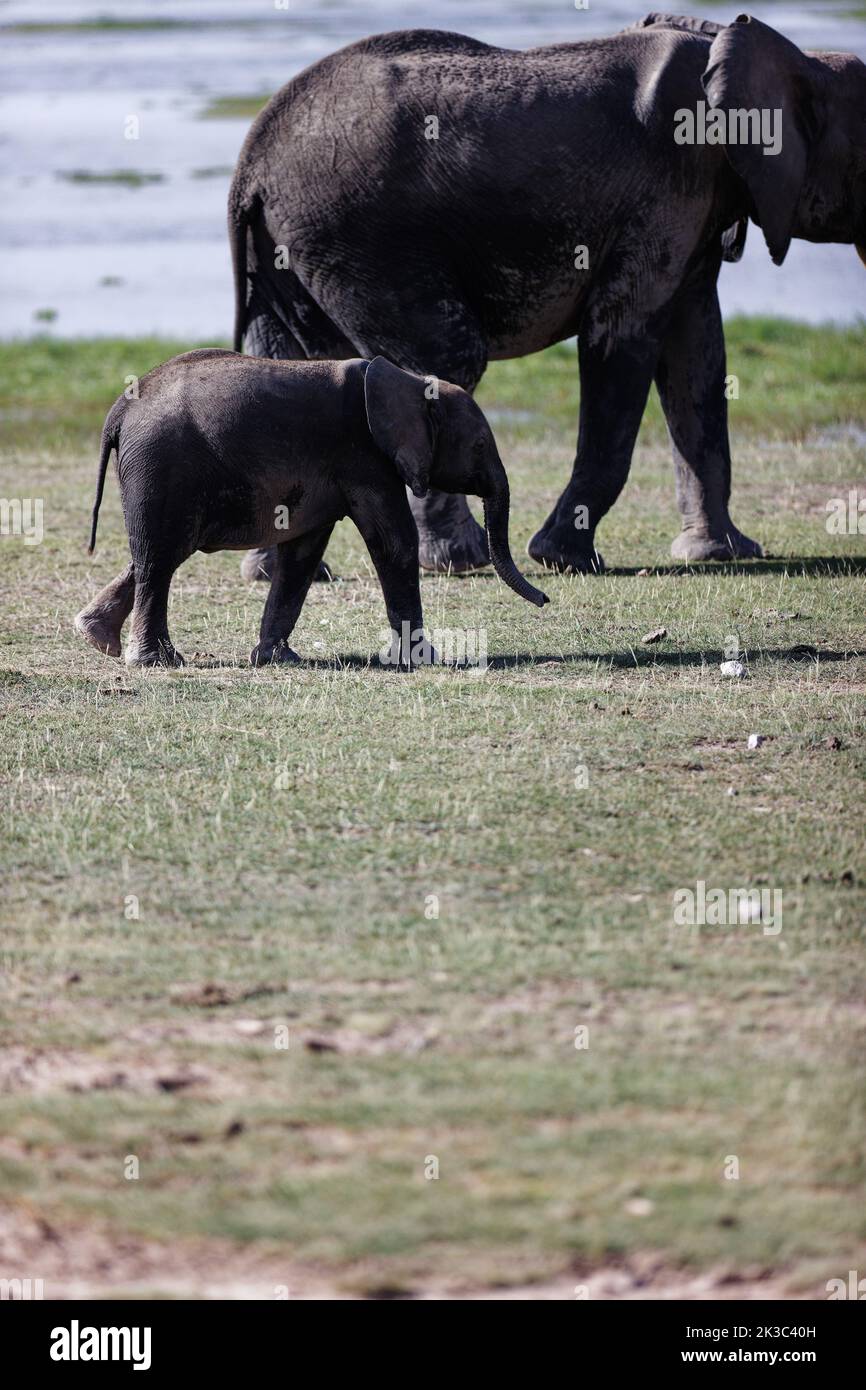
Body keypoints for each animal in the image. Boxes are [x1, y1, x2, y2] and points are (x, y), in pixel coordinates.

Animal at [74, 351, 547, 668]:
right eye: (481, 445)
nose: (545, 599)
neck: (410, 382)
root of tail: (120, 408)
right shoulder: (364, 457)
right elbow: (393, 541)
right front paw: (424, 661)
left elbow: (303, 552)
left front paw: (278, 659)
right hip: (161, 463)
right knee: (160, 555)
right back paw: (155, 662)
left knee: (160, 551)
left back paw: (97, 638)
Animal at [228, 12, 866, 578]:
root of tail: (248, 166)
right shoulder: (667, 193)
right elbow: (621, 336)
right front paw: (562, 559)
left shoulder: (703, 204)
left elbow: (697, 356)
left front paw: (720, 554)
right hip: (362, 236)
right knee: (449, 358)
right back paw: (461, 560)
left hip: (288, 251)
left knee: (284, 366)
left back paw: (280, 570)